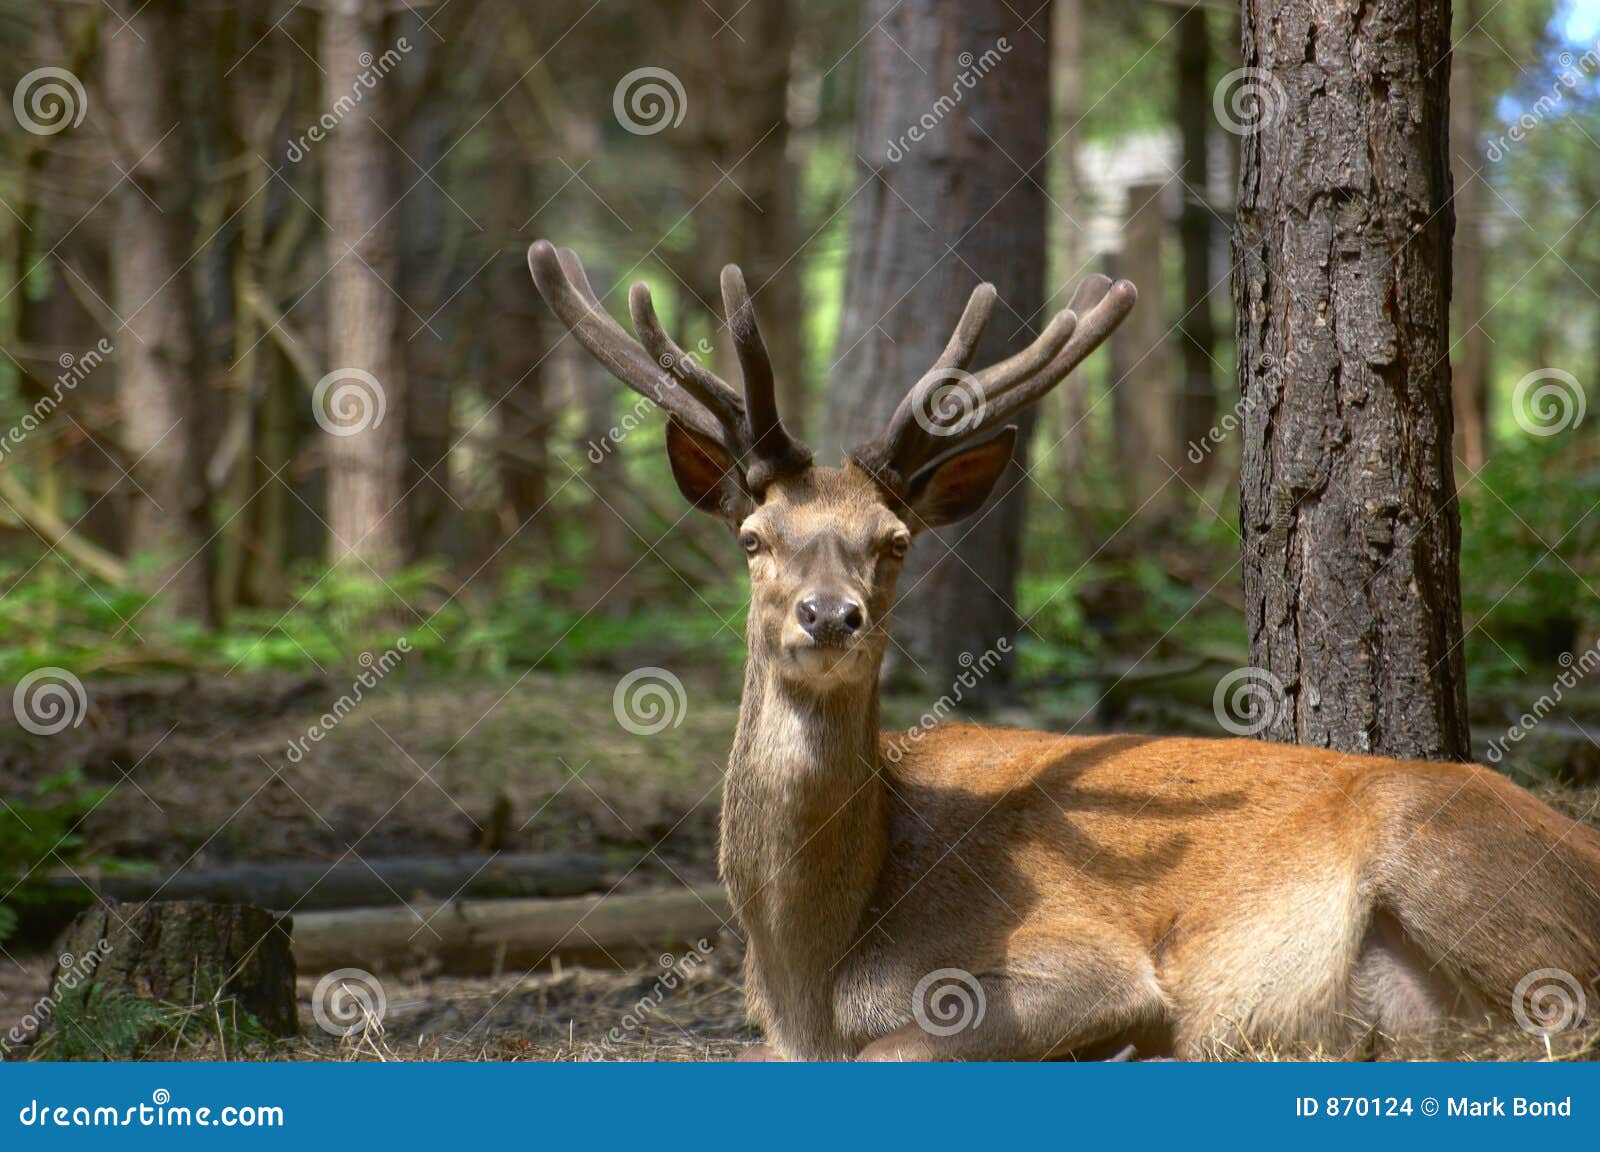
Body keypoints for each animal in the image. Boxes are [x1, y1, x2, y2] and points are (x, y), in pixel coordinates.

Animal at [527, 240, 1600, 1061]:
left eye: (895, 540)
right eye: (753, 538)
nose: (830, 617)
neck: (809, 963)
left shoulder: (1078, 960)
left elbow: (900, 1048)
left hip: (1447, 852)